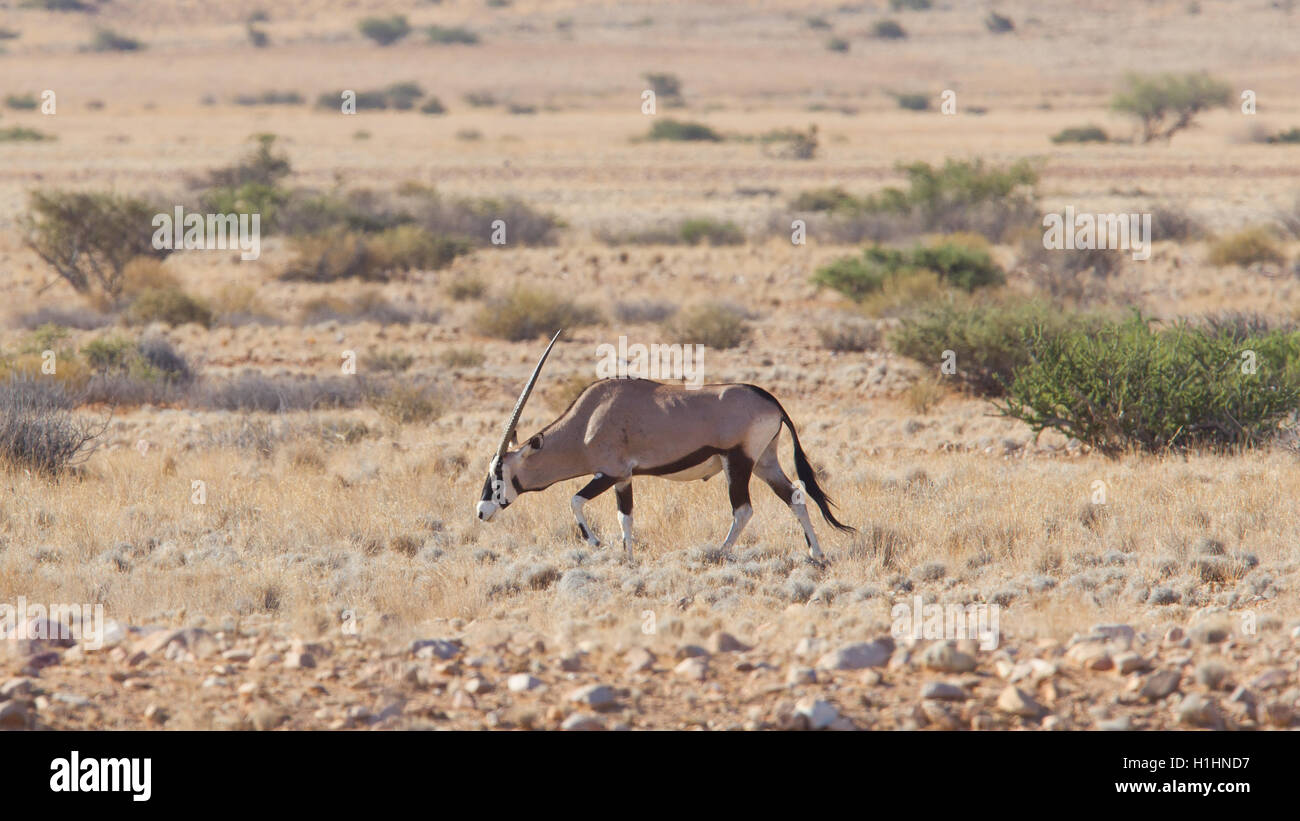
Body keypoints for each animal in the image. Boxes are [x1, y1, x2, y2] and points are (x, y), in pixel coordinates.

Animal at [476, 331, 854, 563]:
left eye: (499, 474)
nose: (481, 512)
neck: (587, 420)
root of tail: (771, 401)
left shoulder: (610, 472)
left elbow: (575, 500)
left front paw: (596, 543)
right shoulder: (624, 479)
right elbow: (625, 517)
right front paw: (627, 557)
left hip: (738, 463)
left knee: (743, 509)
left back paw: (719, 553)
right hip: (764, 462)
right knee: (795, 497)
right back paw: (816, 554)